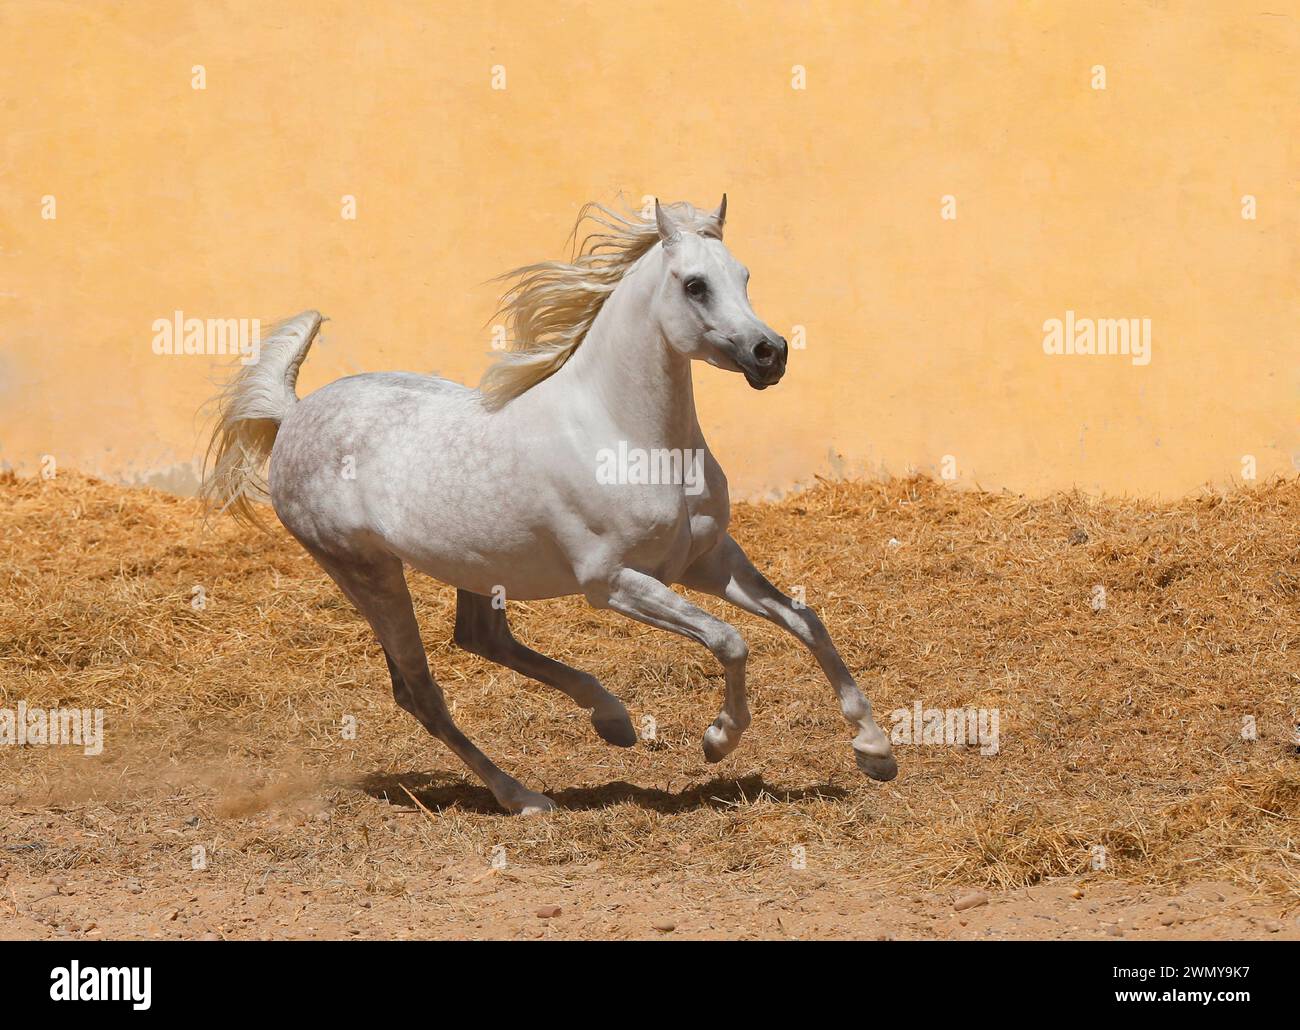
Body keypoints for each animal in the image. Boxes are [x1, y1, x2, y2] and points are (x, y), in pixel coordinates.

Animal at [202, 196, 897, 815]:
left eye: (745, 275)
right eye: (695, 285)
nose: (769, 353)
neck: (626, 435)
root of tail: (293, 415)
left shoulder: (706, 560)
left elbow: (805, 621)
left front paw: (875, 750)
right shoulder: (612, 582)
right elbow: (730, 641)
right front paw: (717, 741)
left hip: (474, 566)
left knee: (481, 640)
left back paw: (611, 720)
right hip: (366, 572)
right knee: (420, 691)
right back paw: (526, 797)